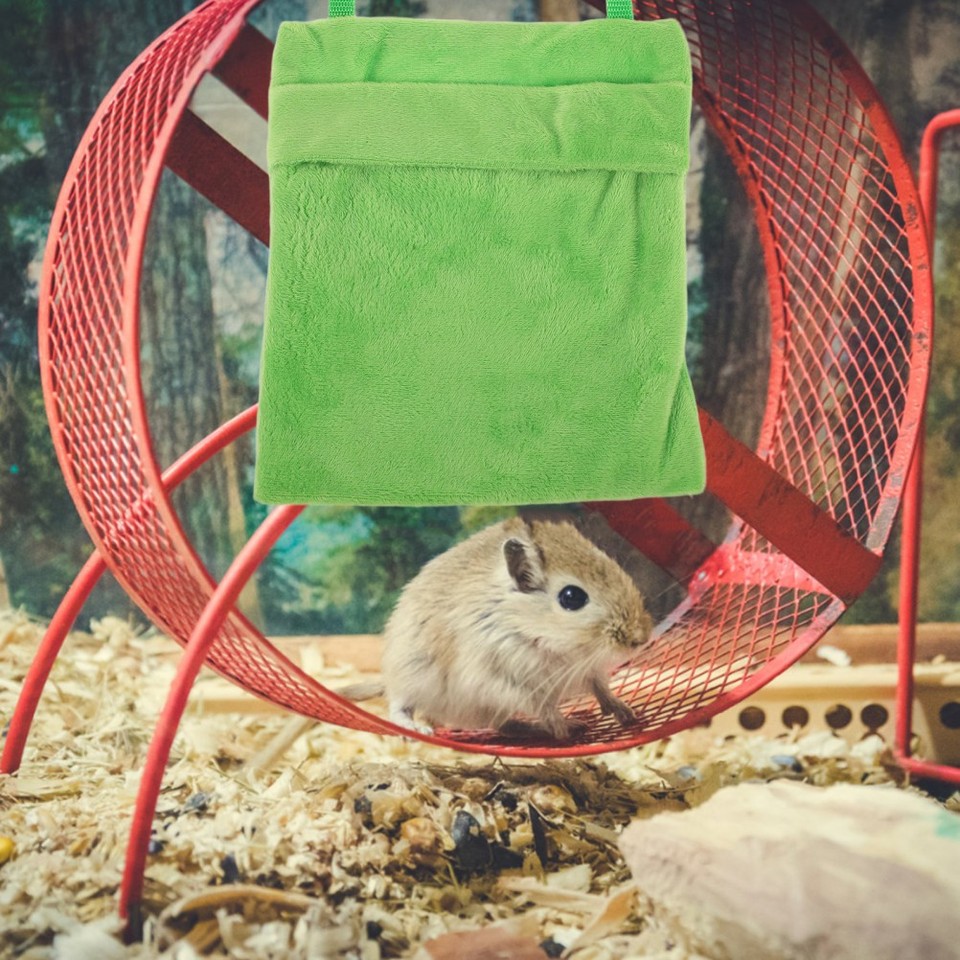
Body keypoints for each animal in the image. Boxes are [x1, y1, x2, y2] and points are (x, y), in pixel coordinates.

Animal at [340, 516, 652, 740]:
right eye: (571, 597)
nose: (641, 639)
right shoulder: (504, 680)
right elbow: (543, 706)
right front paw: (563, 729)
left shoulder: (588, 669)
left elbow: (600, 688)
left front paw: (627, 713)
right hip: (411, 673)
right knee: (398, 705)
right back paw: (416, 729)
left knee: (503, 725)